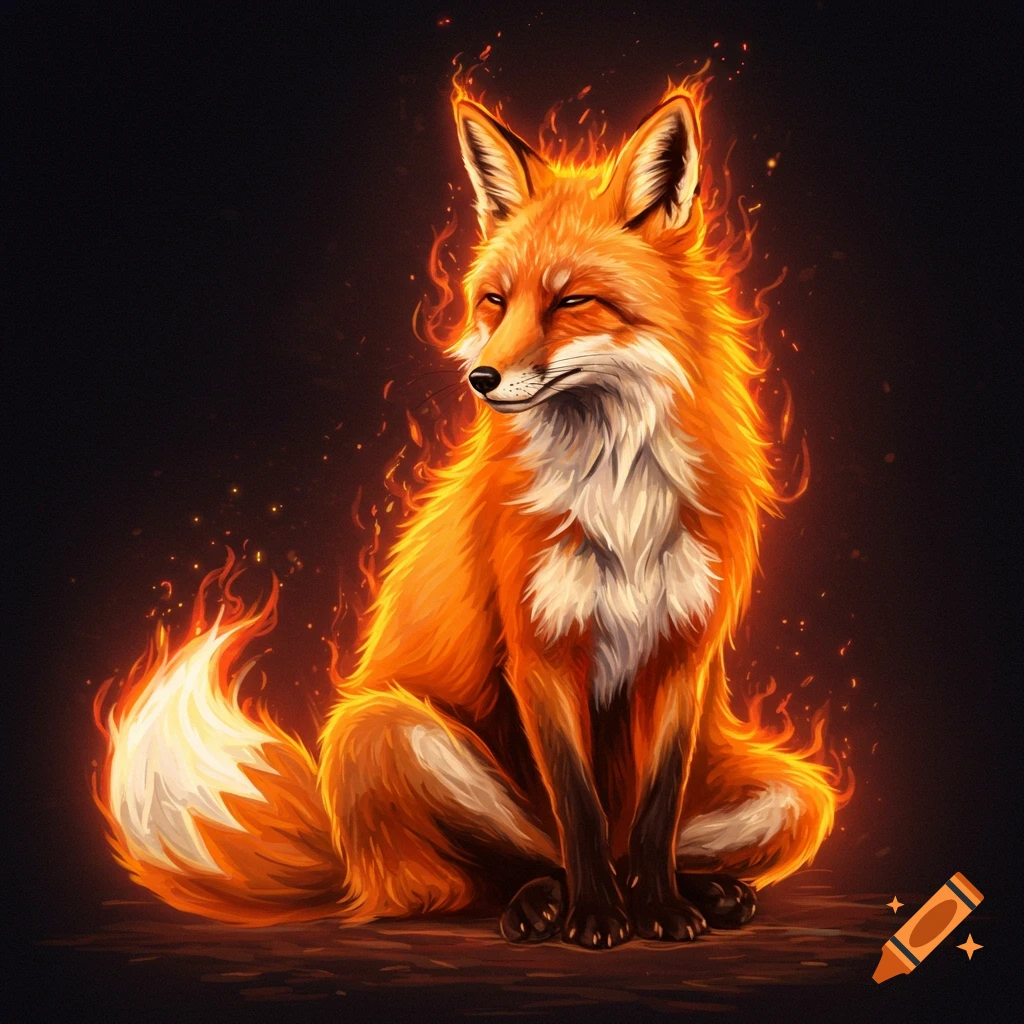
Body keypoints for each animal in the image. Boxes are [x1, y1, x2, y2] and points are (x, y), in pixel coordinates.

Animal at [95, 76, 842, 949]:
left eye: (571, 301)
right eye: (495, 300)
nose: (480, 378)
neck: (618, 490)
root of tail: (349, 863)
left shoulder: (681, 654)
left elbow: (654, 813)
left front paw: (660, 910)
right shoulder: (541, 650)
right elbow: (579, 809)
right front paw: (597, 918)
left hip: (804, 796)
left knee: (627, 842)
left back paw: (701, 891)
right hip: (386, 729)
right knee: (508, 861)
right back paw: (544, 902)